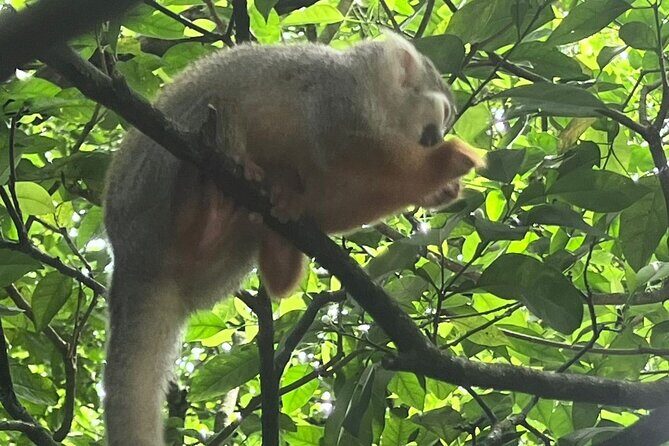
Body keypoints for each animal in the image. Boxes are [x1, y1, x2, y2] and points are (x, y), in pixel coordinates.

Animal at [102, 33, 481, 445]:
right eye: (438, 121)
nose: (439, 137)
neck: (371, 94)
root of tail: (129, 258)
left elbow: (331, 193)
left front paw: (438, 190)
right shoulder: (338, 94)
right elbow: (346, 154)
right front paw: (444, 163)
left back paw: (267, 234)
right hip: (148, 189)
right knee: (217, 105)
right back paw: (208, 194)